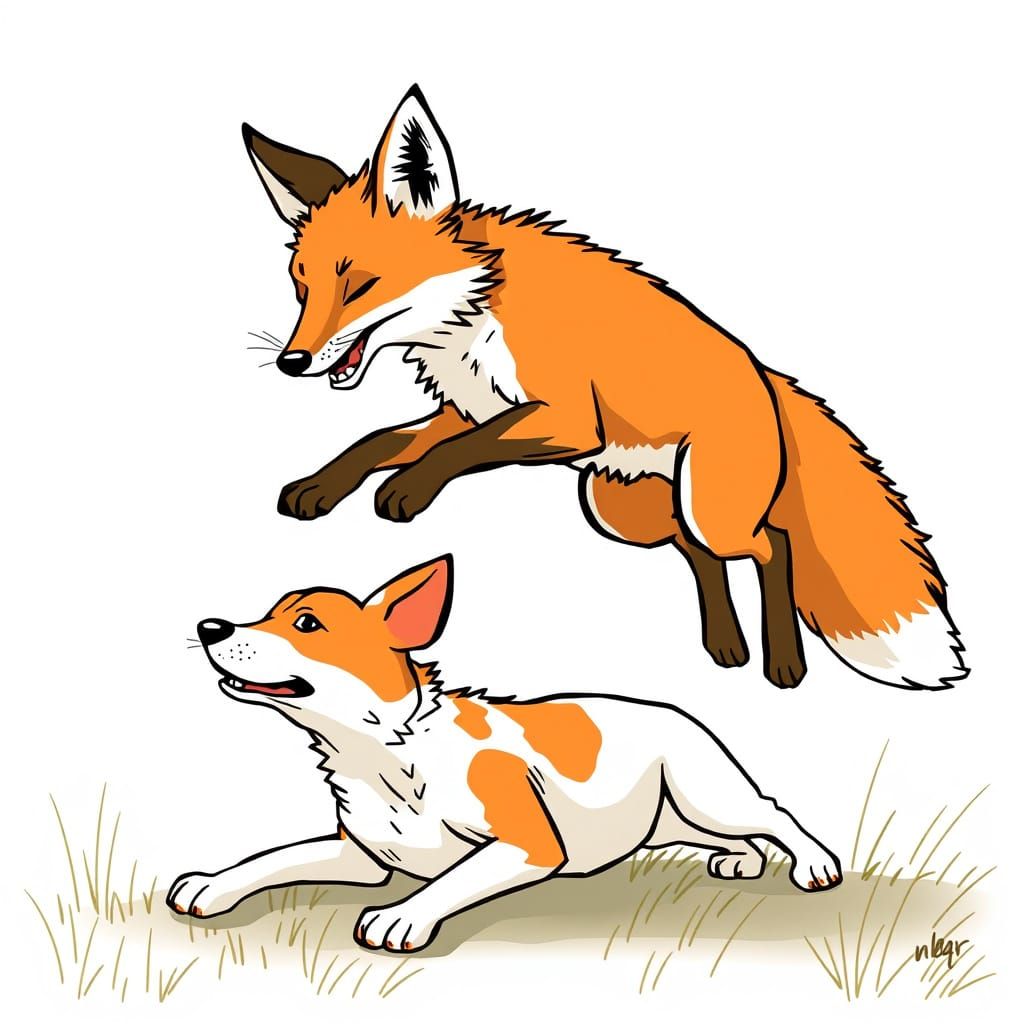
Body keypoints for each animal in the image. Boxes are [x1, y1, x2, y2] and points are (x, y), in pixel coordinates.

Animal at [169, 555, 842, 952]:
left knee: (775, 812)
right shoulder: (360, 856)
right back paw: (742, 860)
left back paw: (814, 864)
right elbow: (273, 858)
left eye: (307, 624)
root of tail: (677, 712)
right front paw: (211, 885)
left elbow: (454, 878)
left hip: (708, 793)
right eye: (269, 612)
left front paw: (401, 917)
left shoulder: (528, 845)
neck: (388, 750)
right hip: (669, 820)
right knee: (733, 837)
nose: (209, 627)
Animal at [241, 85, 967, 691]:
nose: (292, 362)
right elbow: (380, 439)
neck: (477, 316)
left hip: (708, 511)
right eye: (301, 287)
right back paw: (725, 645)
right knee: (698, 555)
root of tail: (765, 376)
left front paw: (407, 492)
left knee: (772, 545)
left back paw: (783, 662)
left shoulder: (562, 420)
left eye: (360, 284)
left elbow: (459, 451)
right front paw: (320, 487)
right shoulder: (469, 407)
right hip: (622, 511)